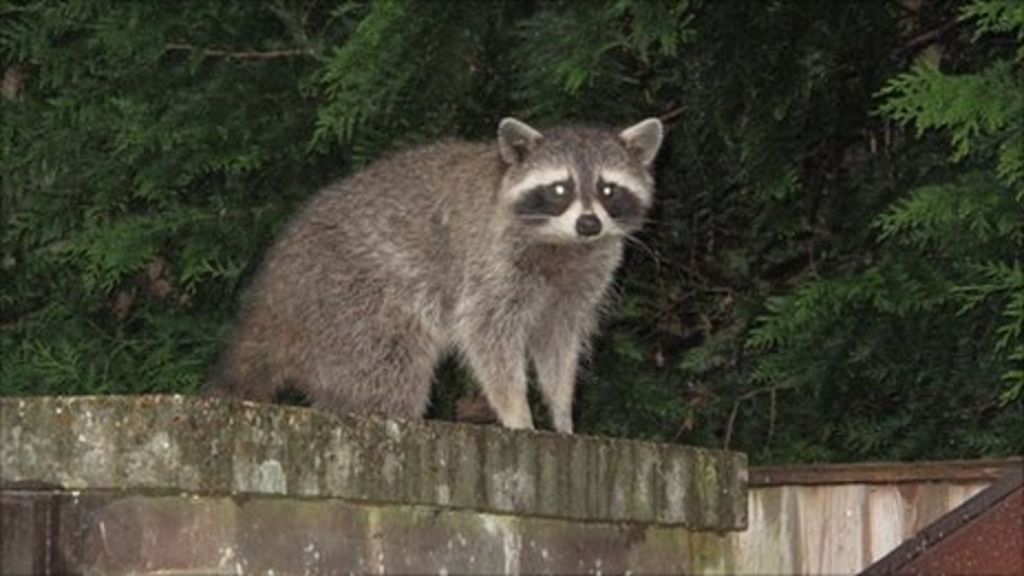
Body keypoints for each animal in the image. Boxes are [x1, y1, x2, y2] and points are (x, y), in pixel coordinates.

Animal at [208, 117, 663, 433]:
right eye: (559, 190)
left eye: (608, 189)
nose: (589, 224)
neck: (563, 244)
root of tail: (274, 292)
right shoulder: (491, 261)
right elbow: (486, 334)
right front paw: (516, 411)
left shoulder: (579, 284)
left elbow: (558, 343)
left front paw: (562, 411)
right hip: (353, 301)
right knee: (391, 373)